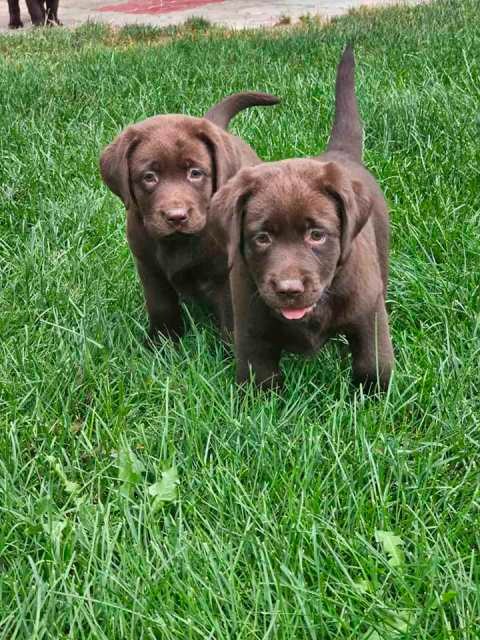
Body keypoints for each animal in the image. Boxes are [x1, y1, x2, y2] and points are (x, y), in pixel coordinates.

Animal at [101, 91, 280, 340]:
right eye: (149, 177)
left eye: (195, 173)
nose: (176, 217)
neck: (178, 242)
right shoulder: (149, 269)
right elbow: (161, 307)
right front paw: (161, 342)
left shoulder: (224, 276)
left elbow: (231, 318)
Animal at [212, 47, 396, 390]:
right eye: (262, 238)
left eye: (317, 235)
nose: (289, 289)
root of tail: (339, 154)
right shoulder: (252, 330)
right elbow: (260, 378)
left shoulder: (368, 313)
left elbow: (373, 365)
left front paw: (373, 397)